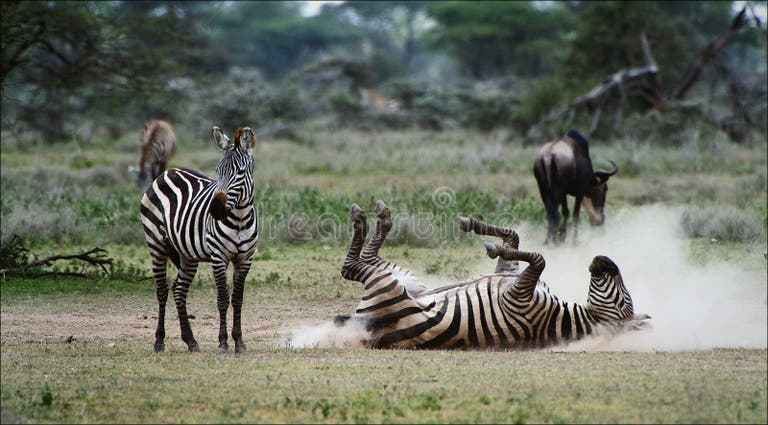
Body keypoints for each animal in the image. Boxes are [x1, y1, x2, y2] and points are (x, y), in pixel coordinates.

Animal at [140, 126, 258, 354]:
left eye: (240, 172)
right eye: (217, 171)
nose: (216, 209)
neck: (239, 217)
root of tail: (167, 172)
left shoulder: (245, 259)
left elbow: (237, 299)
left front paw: (239, 342)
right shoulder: (218, 257)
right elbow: (223, 299)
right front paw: (223, 343)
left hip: (187, 254)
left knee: (179, 290)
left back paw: (191, 341)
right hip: (156, 243)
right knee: (162, 291)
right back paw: (159, 342)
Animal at [337, 201, 650, 349]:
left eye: (625, 302)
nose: (603, 258)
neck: (562, 317)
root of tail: (363, 324)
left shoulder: (518, 295)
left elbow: (539, 257)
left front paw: (494, 245)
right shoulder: (509, 278)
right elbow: (515, 236)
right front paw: (474, 225)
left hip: (387, 284)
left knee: (353, 266)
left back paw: (366, 218)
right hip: (409, 281)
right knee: (362, 261)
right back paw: (373, 216)